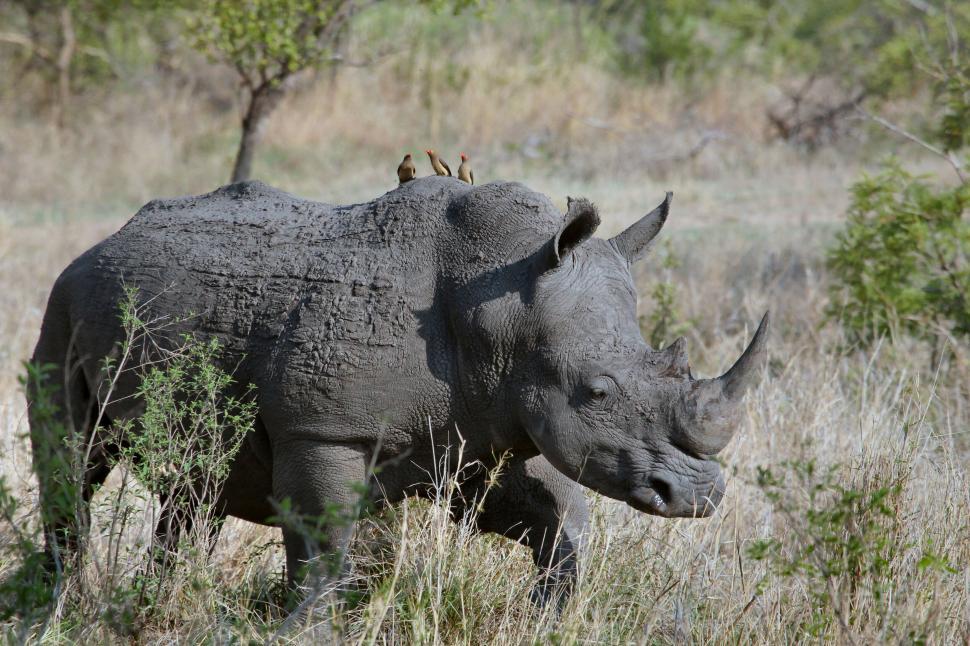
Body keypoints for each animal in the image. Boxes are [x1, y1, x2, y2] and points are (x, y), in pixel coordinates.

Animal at [28, 176, 768, 603]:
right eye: (597, 390)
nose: (698, 497)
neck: (503, 306)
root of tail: (105, 240)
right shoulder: (323, 431)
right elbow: (323, 547)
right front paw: (308, 627)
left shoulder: (481, 426)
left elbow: (558, 520)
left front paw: (546, 613)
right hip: (62, 302)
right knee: (73, 462)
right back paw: (59, 606)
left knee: (195, 491)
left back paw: (149, 605)